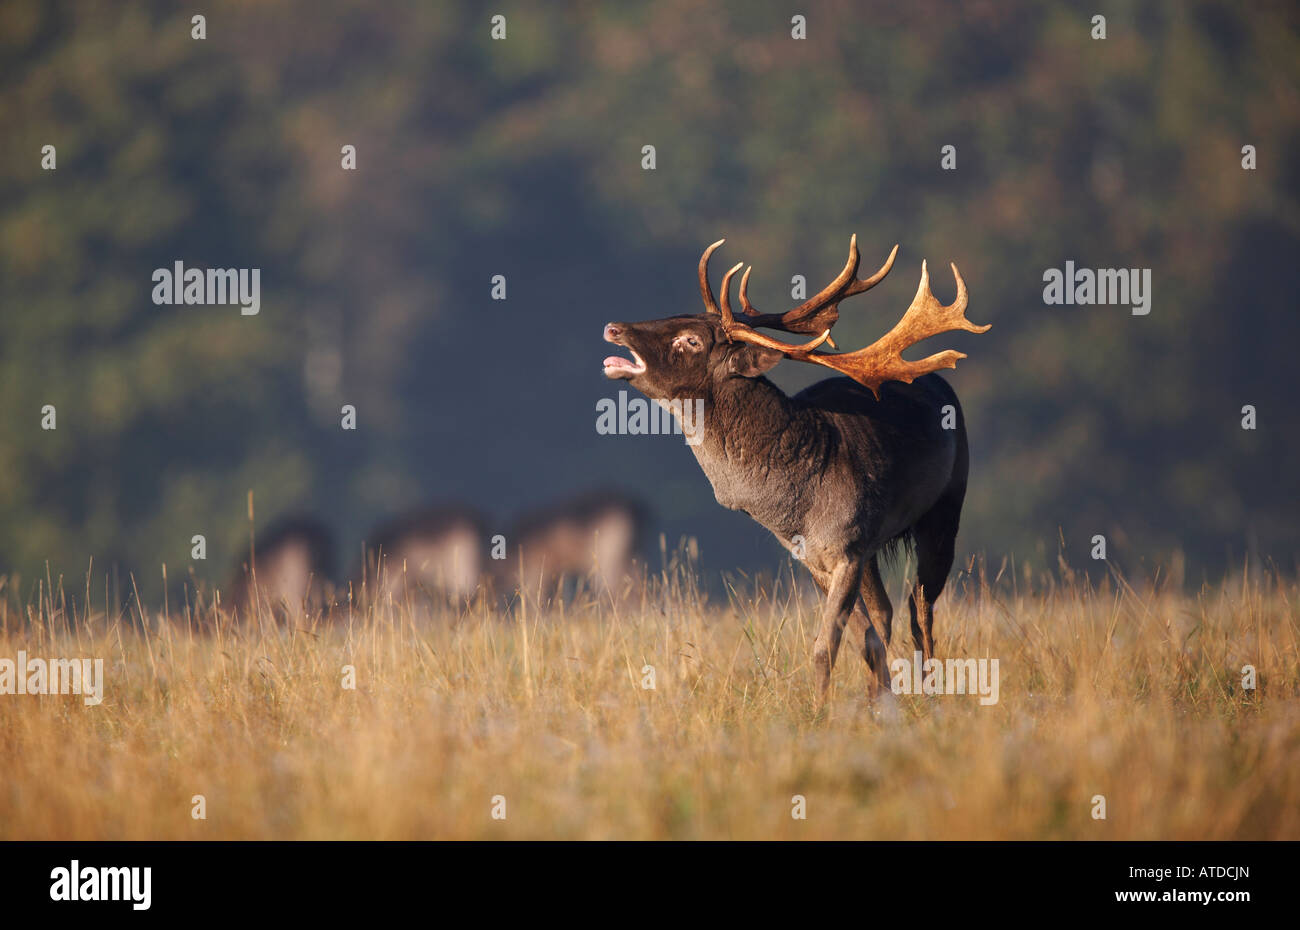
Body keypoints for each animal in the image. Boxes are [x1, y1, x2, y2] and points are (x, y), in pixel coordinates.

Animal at [602, 236, 990, 701]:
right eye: (676, 313)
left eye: (691, 340)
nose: (614, 327)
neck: (794, 507)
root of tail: (938, 379)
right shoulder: (818, 557)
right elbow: (862, 638)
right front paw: (875, 703)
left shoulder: (846, 548)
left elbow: (826, 646)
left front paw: (819, 709)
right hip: (875, 546)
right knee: (886, 612)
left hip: (946, 508)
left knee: (921, 607)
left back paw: (931, 694)